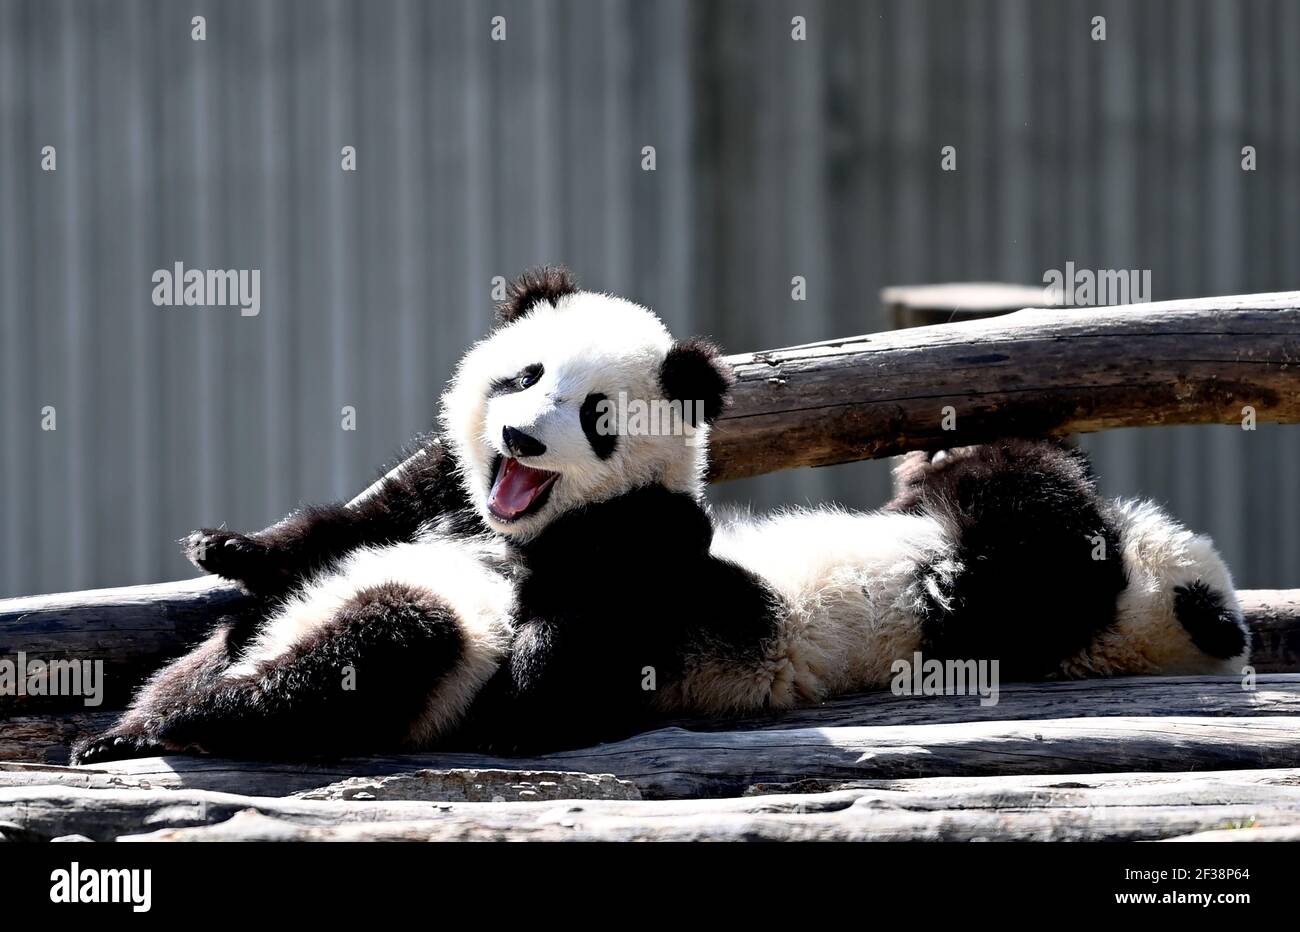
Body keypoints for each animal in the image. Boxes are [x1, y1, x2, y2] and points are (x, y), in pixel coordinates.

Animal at [72, 267, 1249, 764]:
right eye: (522, 375)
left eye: (594, 414)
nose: (519, 441)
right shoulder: (442, 497)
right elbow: (348, 520)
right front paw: (229, 543)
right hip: (266, 625)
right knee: (246, 633)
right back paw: (137, 720)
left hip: (422, 655)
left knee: (383, 646)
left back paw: (197, 722)